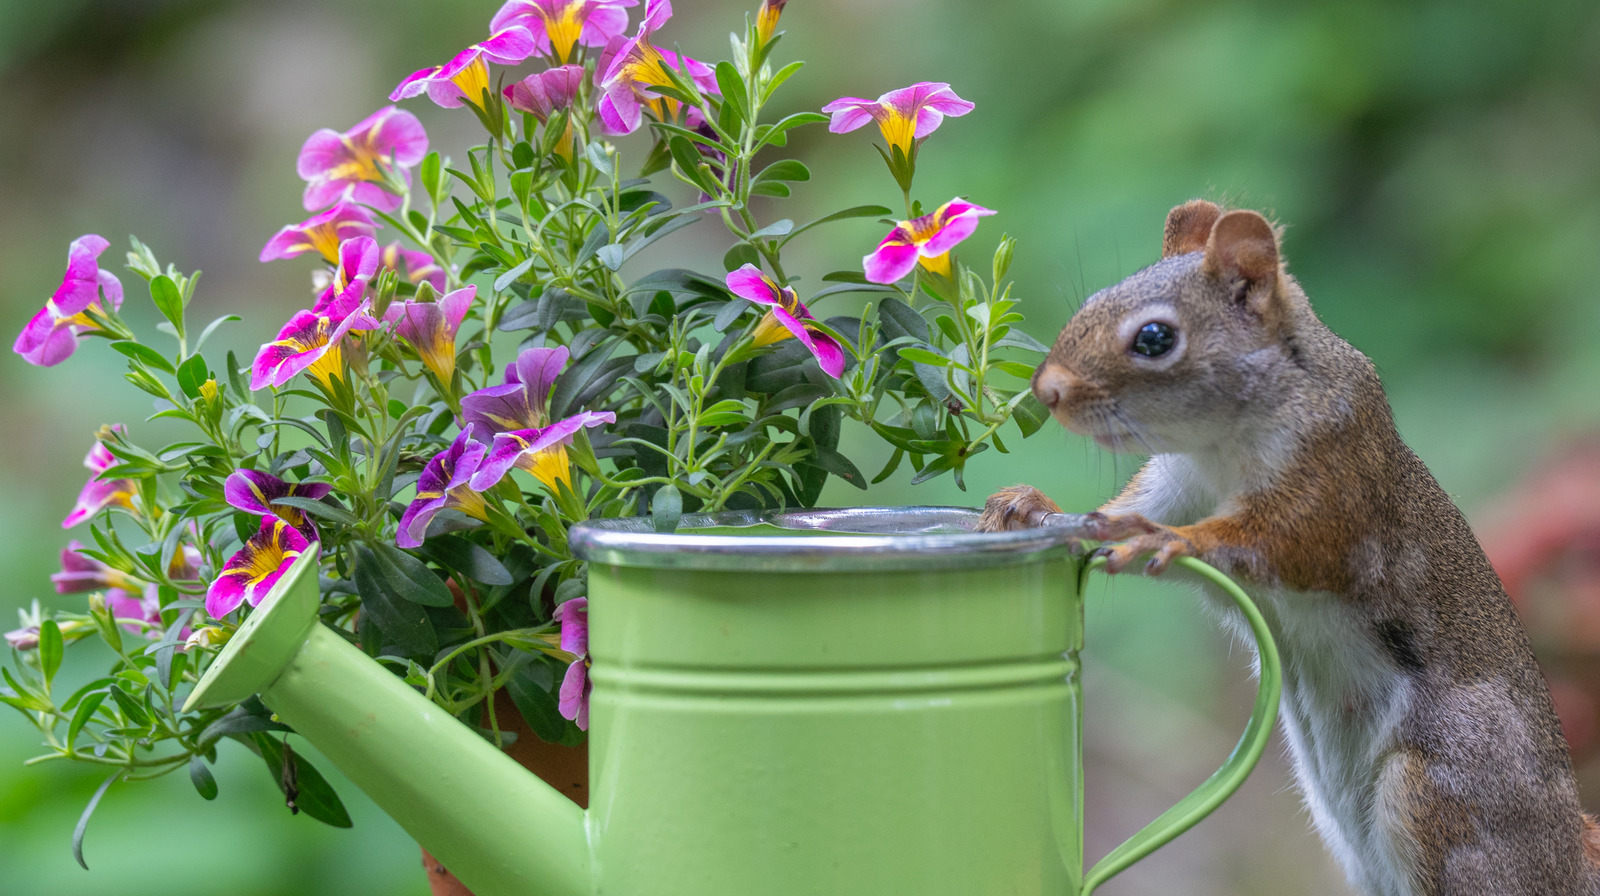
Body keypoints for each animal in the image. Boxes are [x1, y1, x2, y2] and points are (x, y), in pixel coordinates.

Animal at [978, 199, 1600, 894]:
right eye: (1092, 300)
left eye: (1155, 339)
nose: (1047, 390)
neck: (1219, 445)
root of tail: (1568, 858)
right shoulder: (1177, 482)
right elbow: (1120, 512)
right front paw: (1030, 507)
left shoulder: (1331, 482)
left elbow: (1275, 541)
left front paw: (1167, 540)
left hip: (1440, 800)